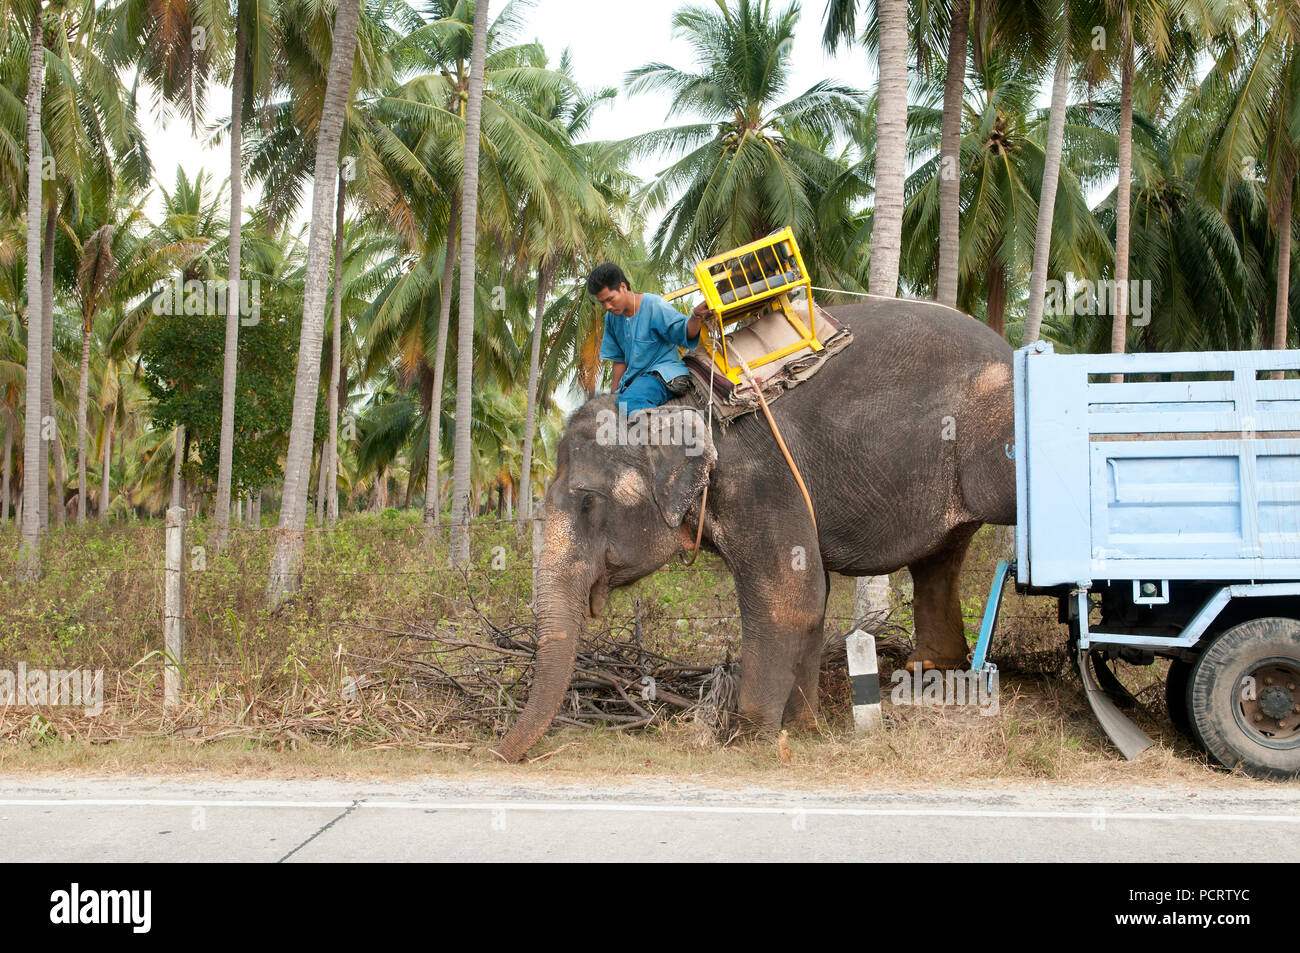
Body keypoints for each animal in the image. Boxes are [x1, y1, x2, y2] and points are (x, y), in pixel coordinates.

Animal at [496, 297, 1017, 761]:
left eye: (588, 503)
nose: (499, 755)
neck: (683, 400)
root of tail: (1008, 346)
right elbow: (812, 597)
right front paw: (802, 730)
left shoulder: (761, 479)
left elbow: (787, 598)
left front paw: (747, 738)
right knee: (939, 562)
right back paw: (931, 669)